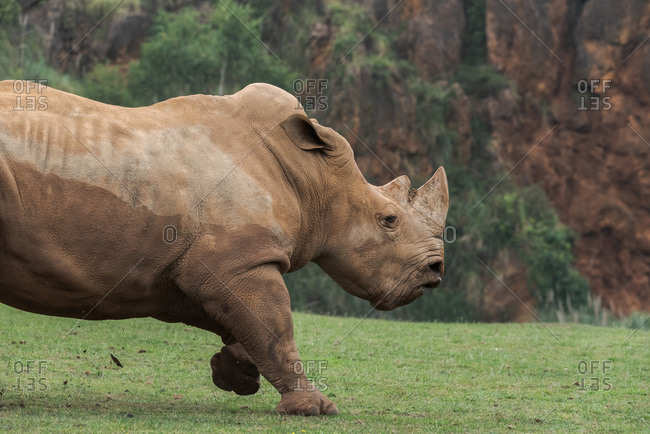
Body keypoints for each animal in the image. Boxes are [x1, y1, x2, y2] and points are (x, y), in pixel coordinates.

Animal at [0, 81, 449, 415]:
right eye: (388, 220)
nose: (435, 271)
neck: (313, 178)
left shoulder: (196, 267)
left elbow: (242, 320)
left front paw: (236, 374)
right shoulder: (238, 261)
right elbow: (276, 325)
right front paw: (314, 408)